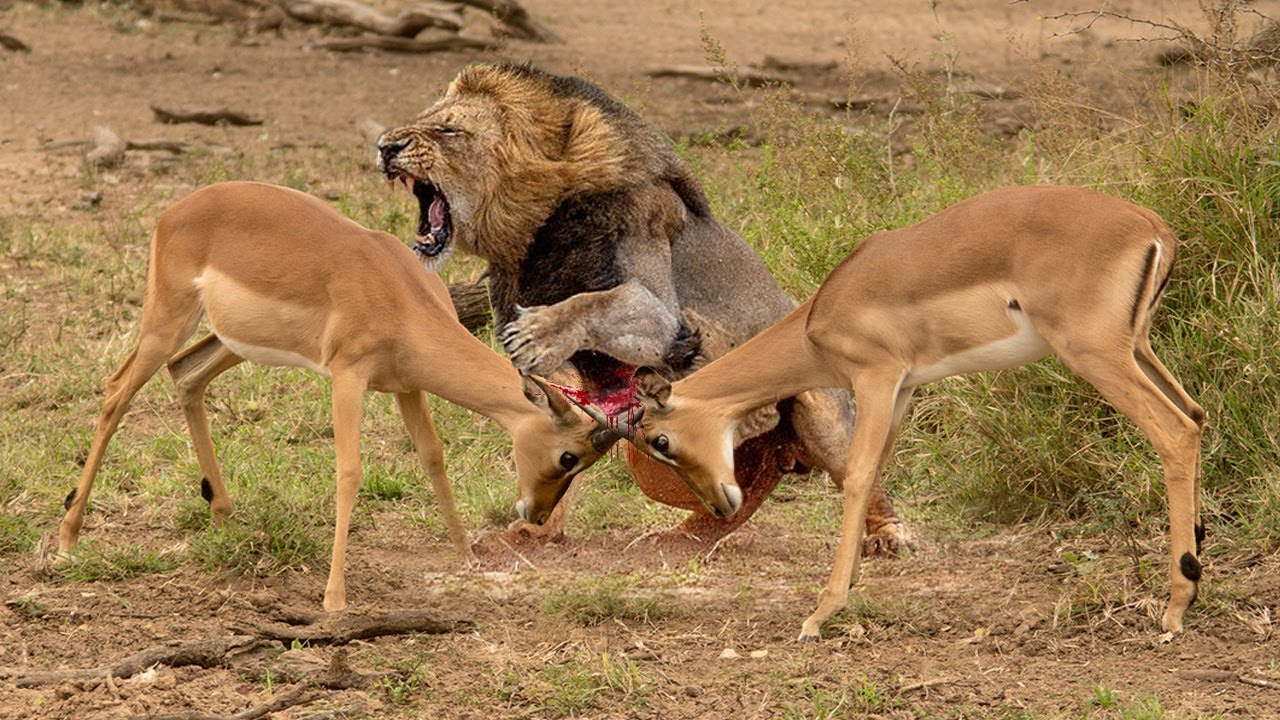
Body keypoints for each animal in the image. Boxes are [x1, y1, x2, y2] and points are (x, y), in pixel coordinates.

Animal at [376, 62, 911, 552]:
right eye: (423, 118)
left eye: (447, 130)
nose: (384, 146)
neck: (533, 231)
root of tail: (782, 453)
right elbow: (559, 433)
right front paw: (535, 531)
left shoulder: (662, 308)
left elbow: (598, 301)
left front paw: (540, 330)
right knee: (722, 498)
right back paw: (679, 535)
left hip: (823, 414)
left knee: (860, 478)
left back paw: (888, 535)